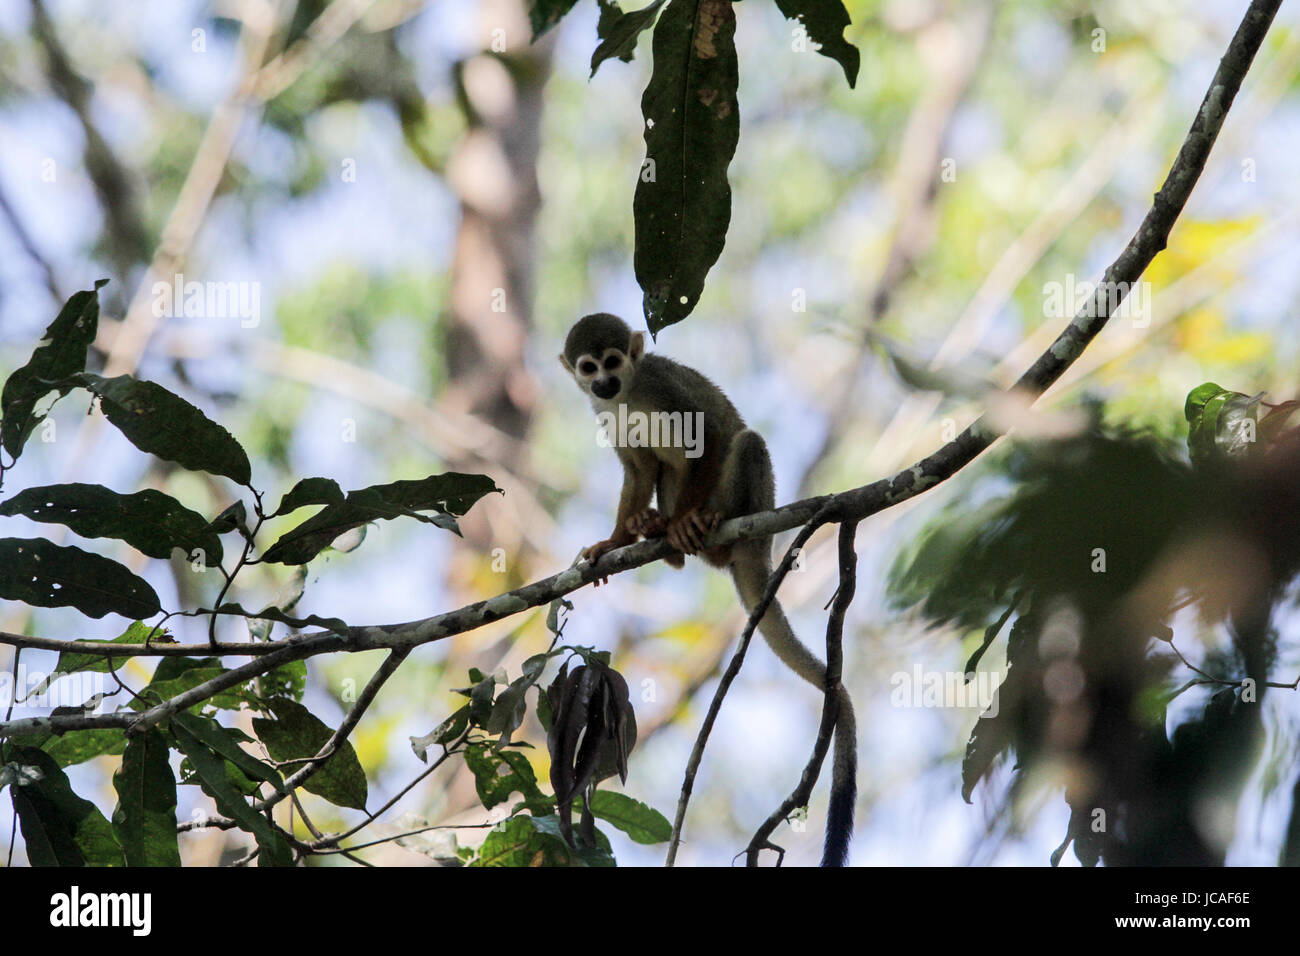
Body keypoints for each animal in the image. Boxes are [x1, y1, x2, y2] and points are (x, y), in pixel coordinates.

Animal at [559, 312, 857, 867]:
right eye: (589, 368)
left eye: (613, 360)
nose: (603, 382)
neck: (630, 391)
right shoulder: (605, 413)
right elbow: (639, 470)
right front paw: (616, 539)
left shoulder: (663, 386)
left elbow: (708, 437)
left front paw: (683, 522)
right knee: (663, 467)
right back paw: (662, 537)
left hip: (756, 504)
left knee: (744, 443)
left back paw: (699, 526)